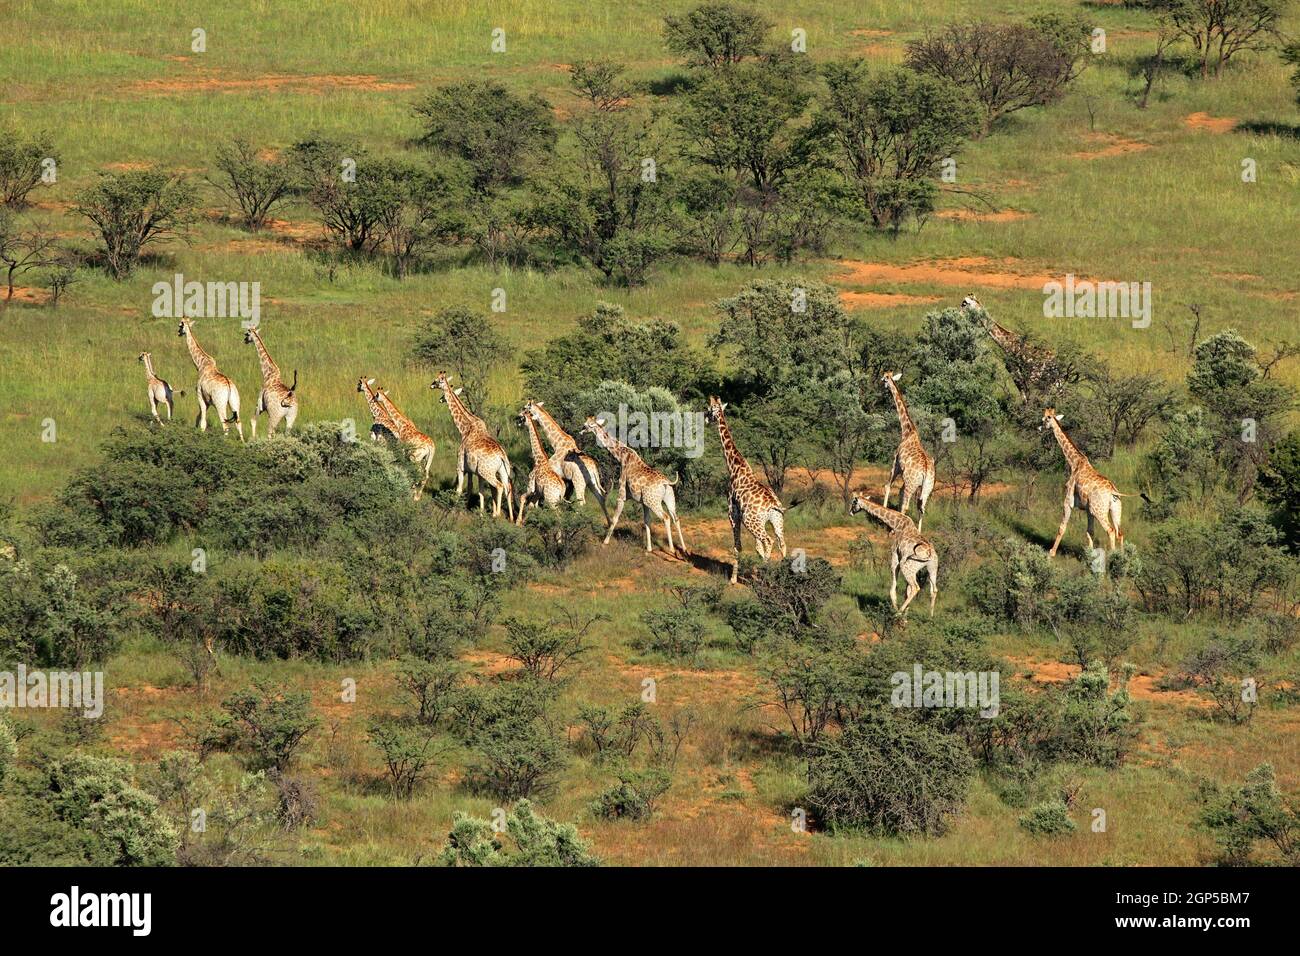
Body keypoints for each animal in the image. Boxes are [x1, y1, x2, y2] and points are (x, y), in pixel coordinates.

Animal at [431, 371, 514, 520]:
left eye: (436, 380)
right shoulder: (474, 471)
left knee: (498, 487)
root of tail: (502, 456)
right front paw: (479, 512)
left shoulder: (461, 465)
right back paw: (511, 519)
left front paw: (452, 511)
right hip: (502, 471)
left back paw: (496, 515)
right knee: (507, 487)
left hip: (487, 471)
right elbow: (478, 490)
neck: (465, 428)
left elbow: (460, 488)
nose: (431, 385)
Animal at [581, 415, 686, 557]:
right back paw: (684, 549)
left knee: (666, 517)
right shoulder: (643, 502)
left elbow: (615, 518)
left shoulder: (621, 495)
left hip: (653, 501)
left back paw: (672, 550)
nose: (581, 431)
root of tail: (666, 483)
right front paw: (648, 549)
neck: (620, 456)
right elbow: (647, 521)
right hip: (668, 498)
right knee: (676, 517)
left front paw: (605, 542)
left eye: (587, 425)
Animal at [704, 396, 786, 583]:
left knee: (769, 541)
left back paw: (765, 576)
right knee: (781, 543)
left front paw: (733, 579)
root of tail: (773, 505)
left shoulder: (733, 514)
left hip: (752, 521)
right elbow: (756, 548)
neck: (735, 467)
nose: (705, 419)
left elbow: (738, 546)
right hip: (776, 521)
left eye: (709, 410)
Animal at [881, 371, 935, 530]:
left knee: (906, 505)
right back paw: (917, 531)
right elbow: (899, 494)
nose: (882, 384)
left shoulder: (896, 463)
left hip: (912, 484)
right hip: (927, 488)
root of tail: (925, 470)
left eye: (885, 378)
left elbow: (888, 486)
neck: (907, 432)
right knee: (921, 508)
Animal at [1041, 408, 1127, 558]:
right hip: (1115, 509)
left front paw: (1051, 552)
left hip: (1099, 510)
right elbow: (1089, 532)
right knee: (1119, 532)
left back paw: (1112, 557)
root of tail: (1112, 491)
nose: (1040, 428)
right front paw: (1090, 555)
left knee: (1110, 531)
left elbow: (1062, 527)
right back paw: (1122, 559)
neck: (1074, 462)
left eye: (1045, 419)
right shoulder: (1088, 509)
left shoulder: (1068, 501)